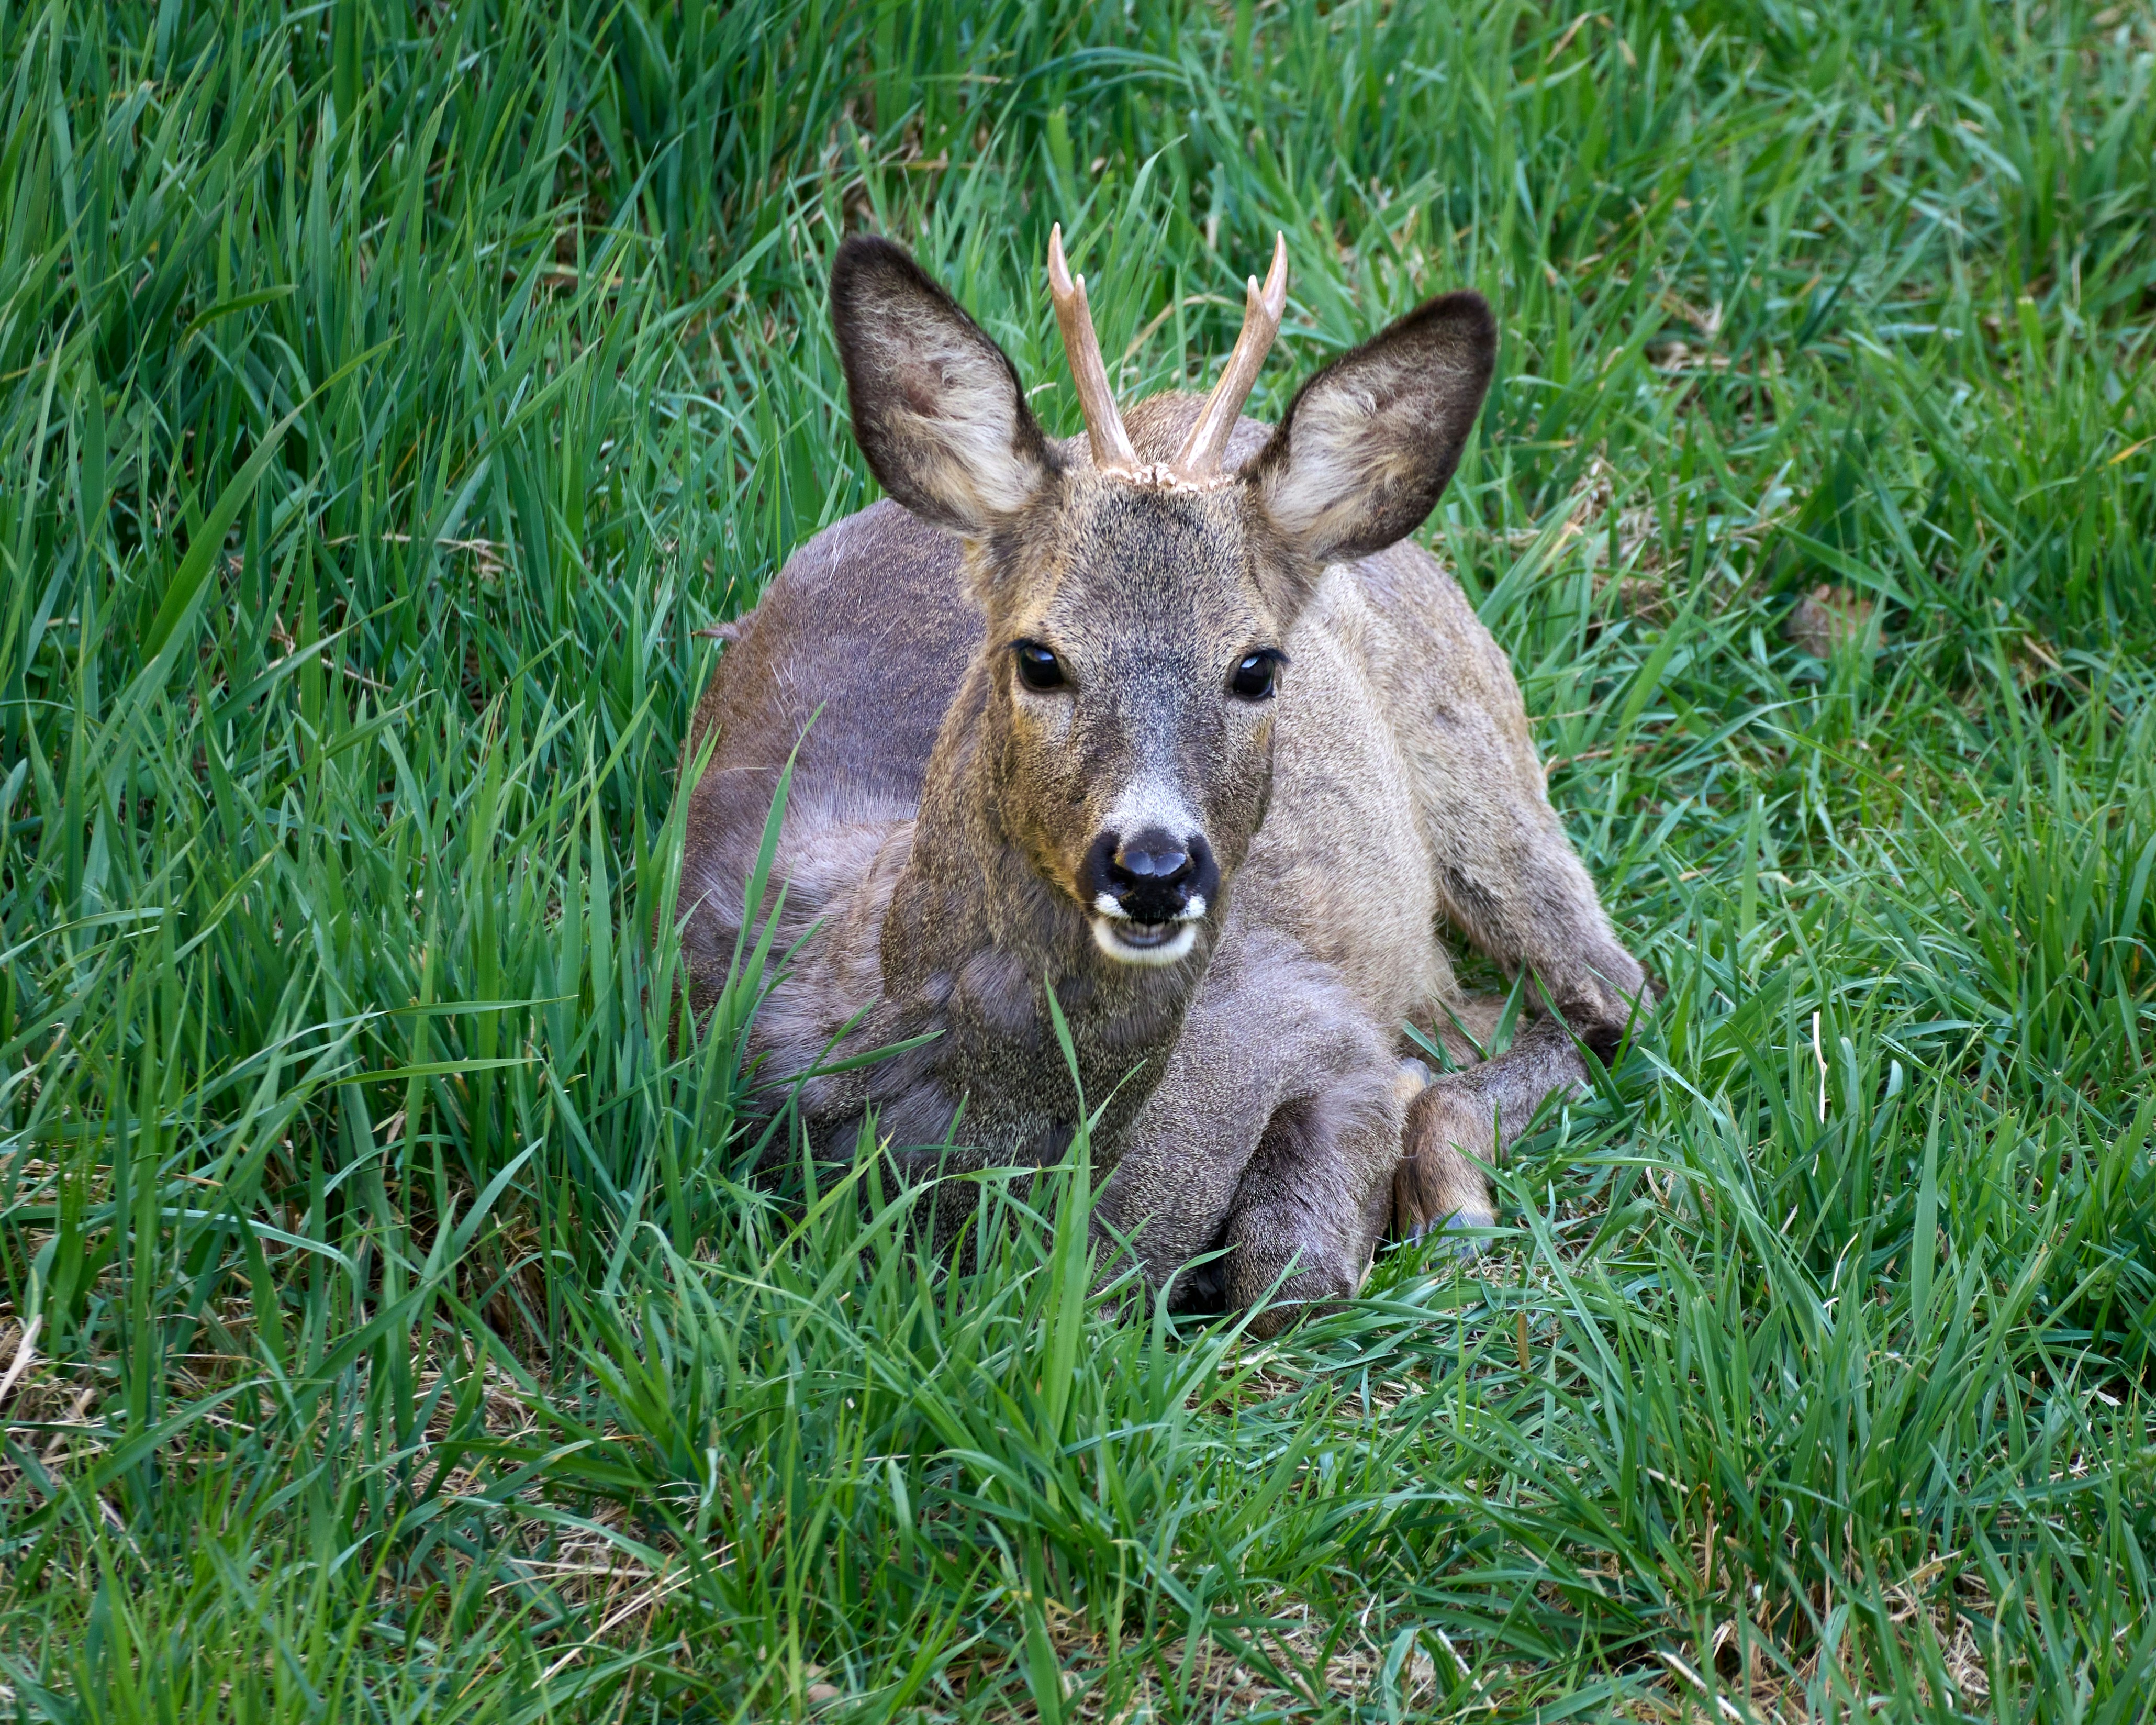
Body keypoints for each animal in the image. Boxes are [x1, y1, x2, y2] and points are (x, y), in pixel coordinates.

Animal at [676, 226, 1650, 1334]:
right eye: (1037, 656)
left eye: (1257, 666)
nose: (1152, 867)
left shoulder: (1312, 1028)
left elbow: (1286, 1276)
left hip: (1474, 756)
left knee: (1609, 995)